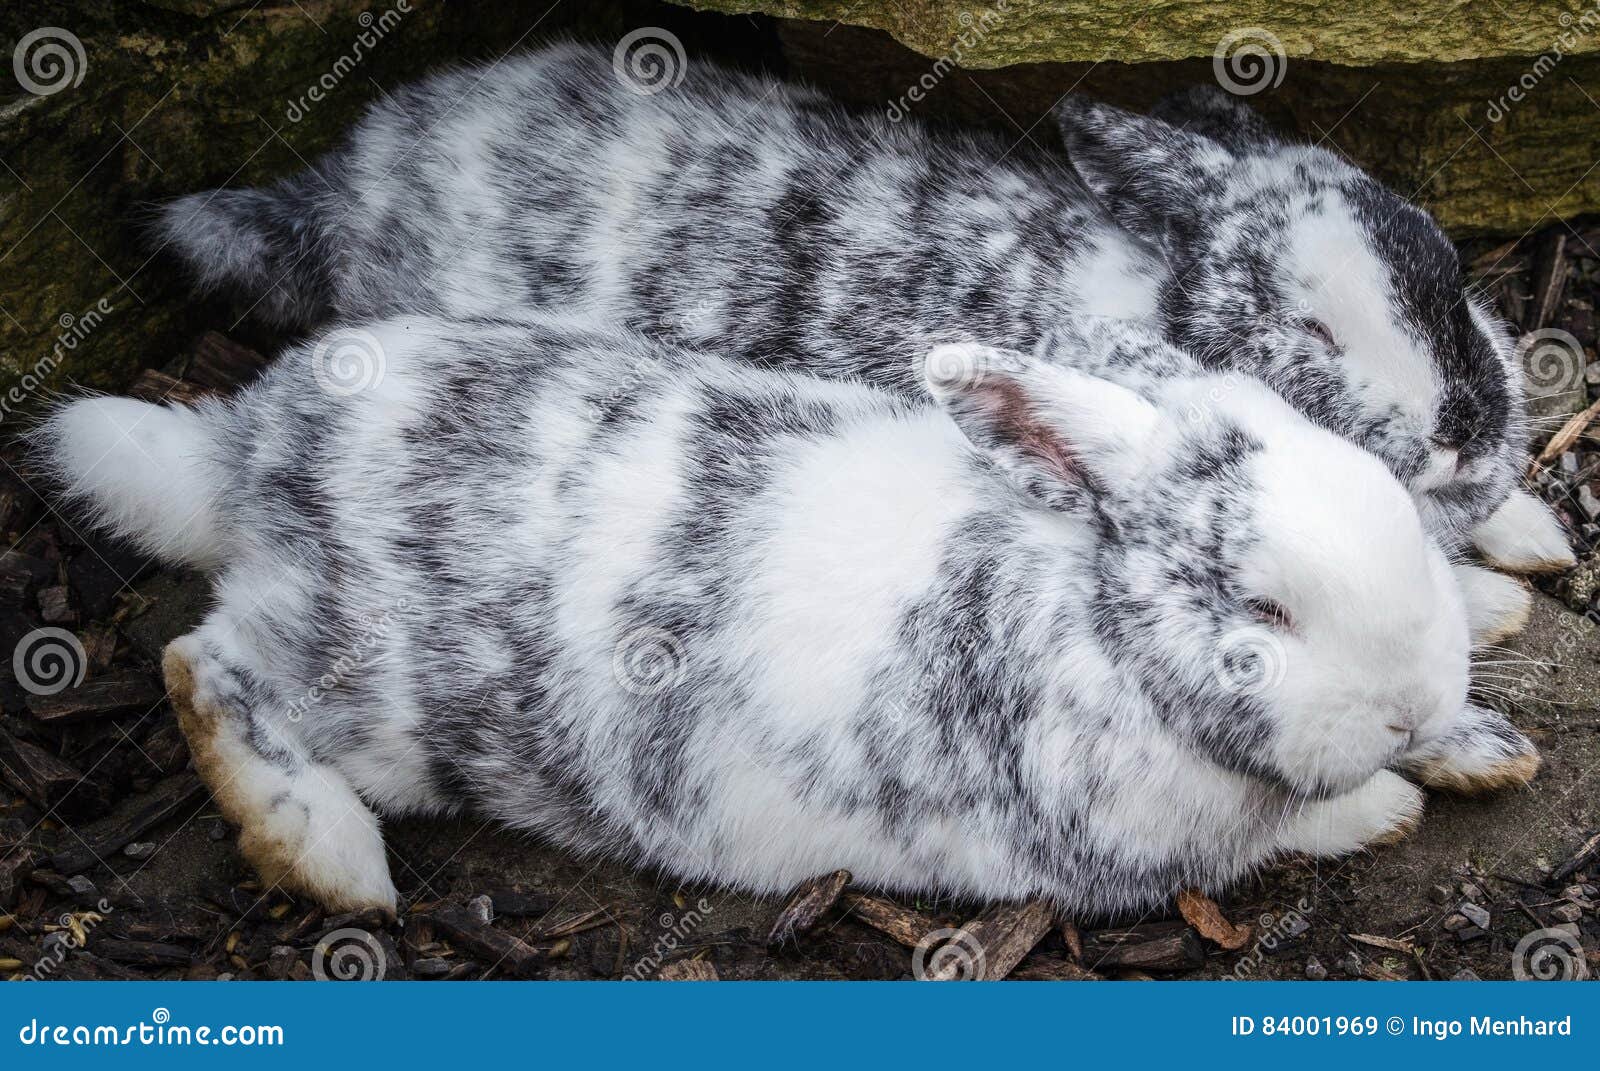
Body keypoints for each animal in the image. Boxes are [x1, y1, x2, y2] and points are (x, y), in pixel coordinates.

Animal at [35, 312, 1537, 917]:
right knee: (202, 664)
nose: (1406, 698)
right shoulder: (1114, 840)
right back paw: (324, 856)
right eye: (1260, 609)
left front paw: (1484, 714)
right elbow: (1293, 826)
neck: (1087, 611)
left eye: (1389, 509)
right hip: (356, 683)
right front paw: (1390, 799)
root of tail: (245, 456)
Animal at [152, 41, 1572, 583]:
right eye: (1303, 331)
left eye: (1439, 255)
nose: (1462, 424)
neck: (1150, 297)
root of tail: (346, 189)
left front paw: (1536, 533)